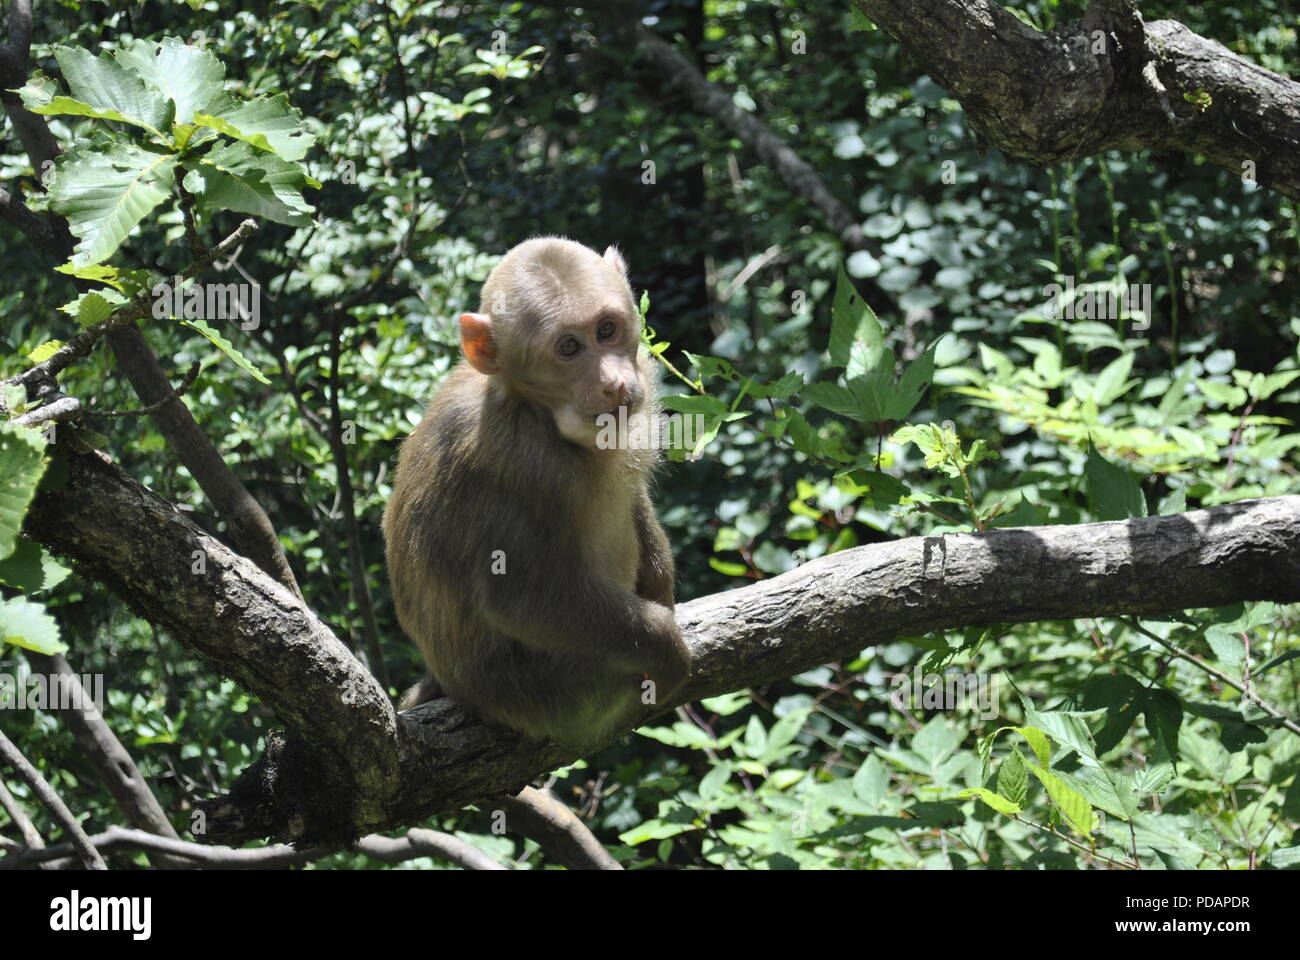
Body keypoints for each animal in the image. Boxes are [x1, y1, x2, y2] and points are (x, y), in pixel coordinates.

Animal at [382, 236, 691, 746]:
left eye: (607, 329)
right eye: (568, 347)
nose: (612, 383)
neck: (535, 409)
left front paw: (661, 578)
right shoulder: (521, 463)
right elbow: (521, 599)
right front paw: (665, 647)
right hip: (558, 693)